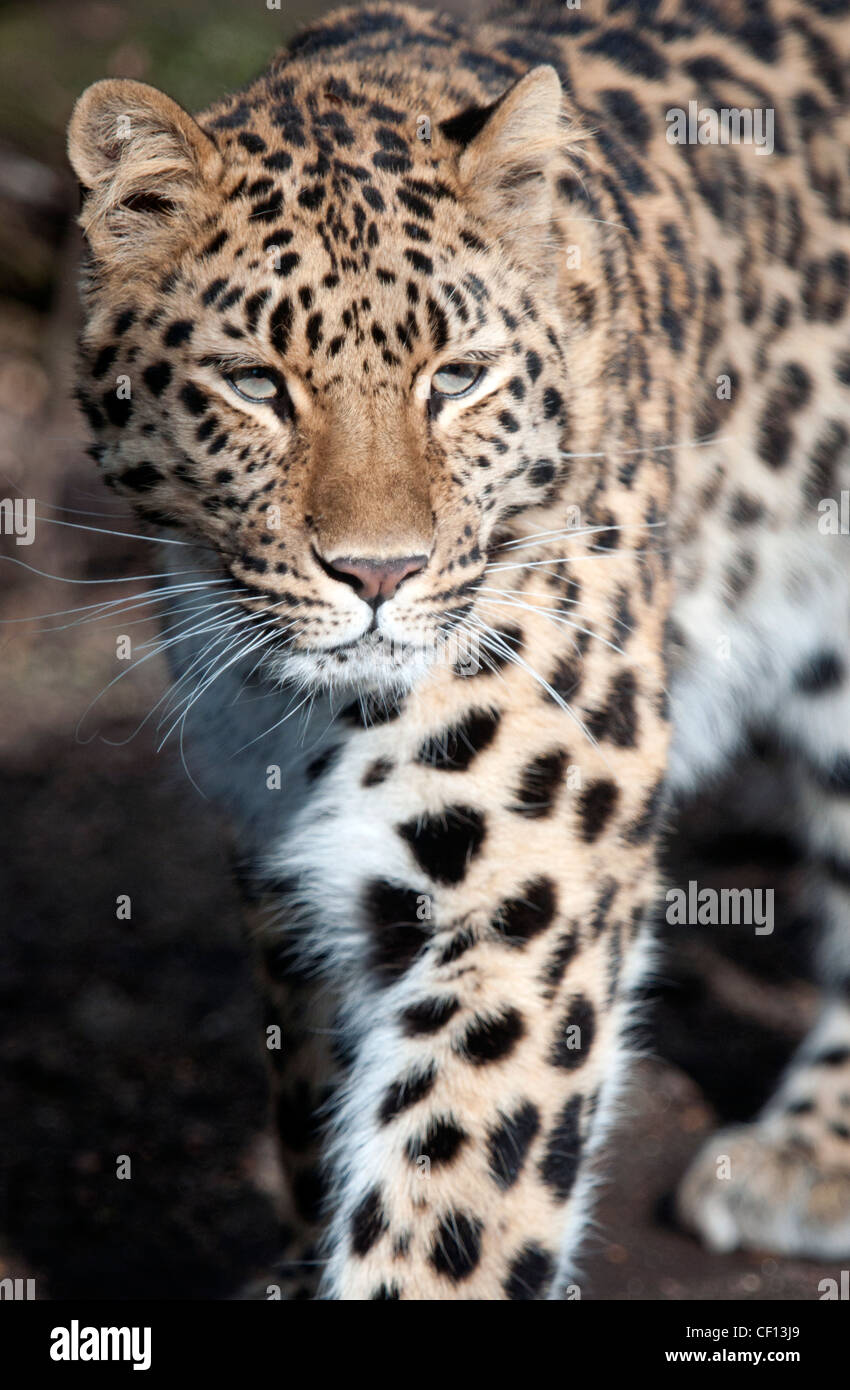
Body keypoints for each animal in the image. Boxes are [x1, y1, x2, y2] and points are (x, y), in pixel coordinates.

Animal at [66, 0, 850, 1299]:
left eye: (459, 379)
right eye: (254, 385)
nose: (379, 575)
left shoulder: (526, 887)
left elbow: (451, 1197)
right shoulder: (290, 861)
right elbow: (321, 1108)